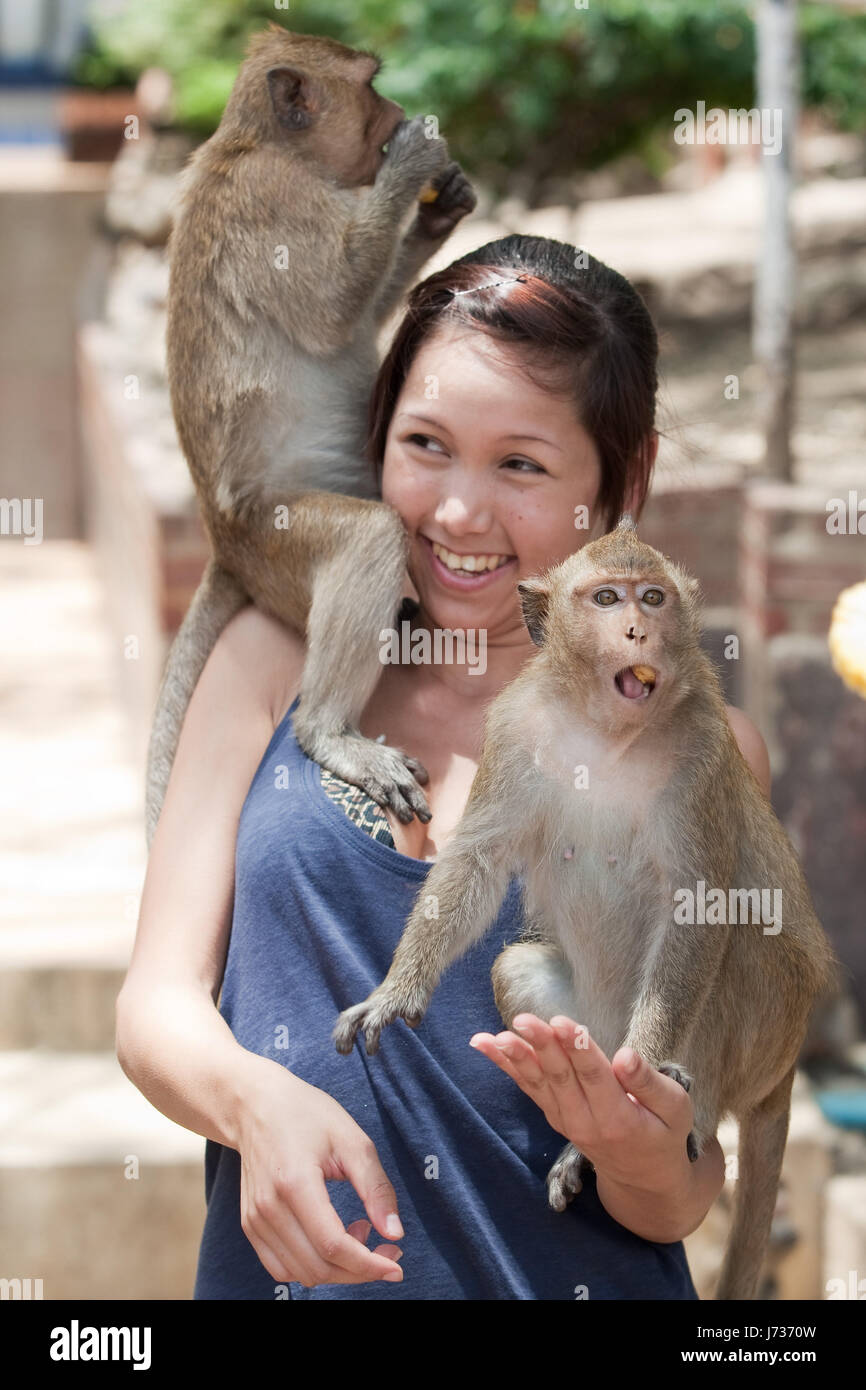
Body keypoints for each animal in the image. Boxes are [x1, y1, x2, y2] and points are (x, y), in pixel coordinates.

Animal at [144, 23, 477, 845]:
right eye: (372, 85)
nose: (398, 113)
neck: (259, 143)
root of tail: (222, 542)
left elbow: (361, 311)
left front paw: (436, 211)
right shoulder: (278, 197)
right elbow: (334, 309)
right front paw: (415, 160)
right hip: (275, 544)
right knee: (371, 536)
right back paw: (330, 733)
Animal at [332, 516, 837, 1301]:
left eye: (653, 597)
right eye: (605, 598)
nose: (636, 629)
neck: (607, 731)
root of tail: (785, 1073)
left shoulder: (701, 748)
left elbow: (701, 906)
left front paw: (645, 1073)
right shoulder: (513, 729)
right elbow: (476, 863)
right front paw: (395, 992)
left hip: (764, 1033)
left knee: (740, 946)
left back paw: (673, 1107)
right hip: (590, 1027)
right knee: (515, 969)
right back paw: (589, 1141)